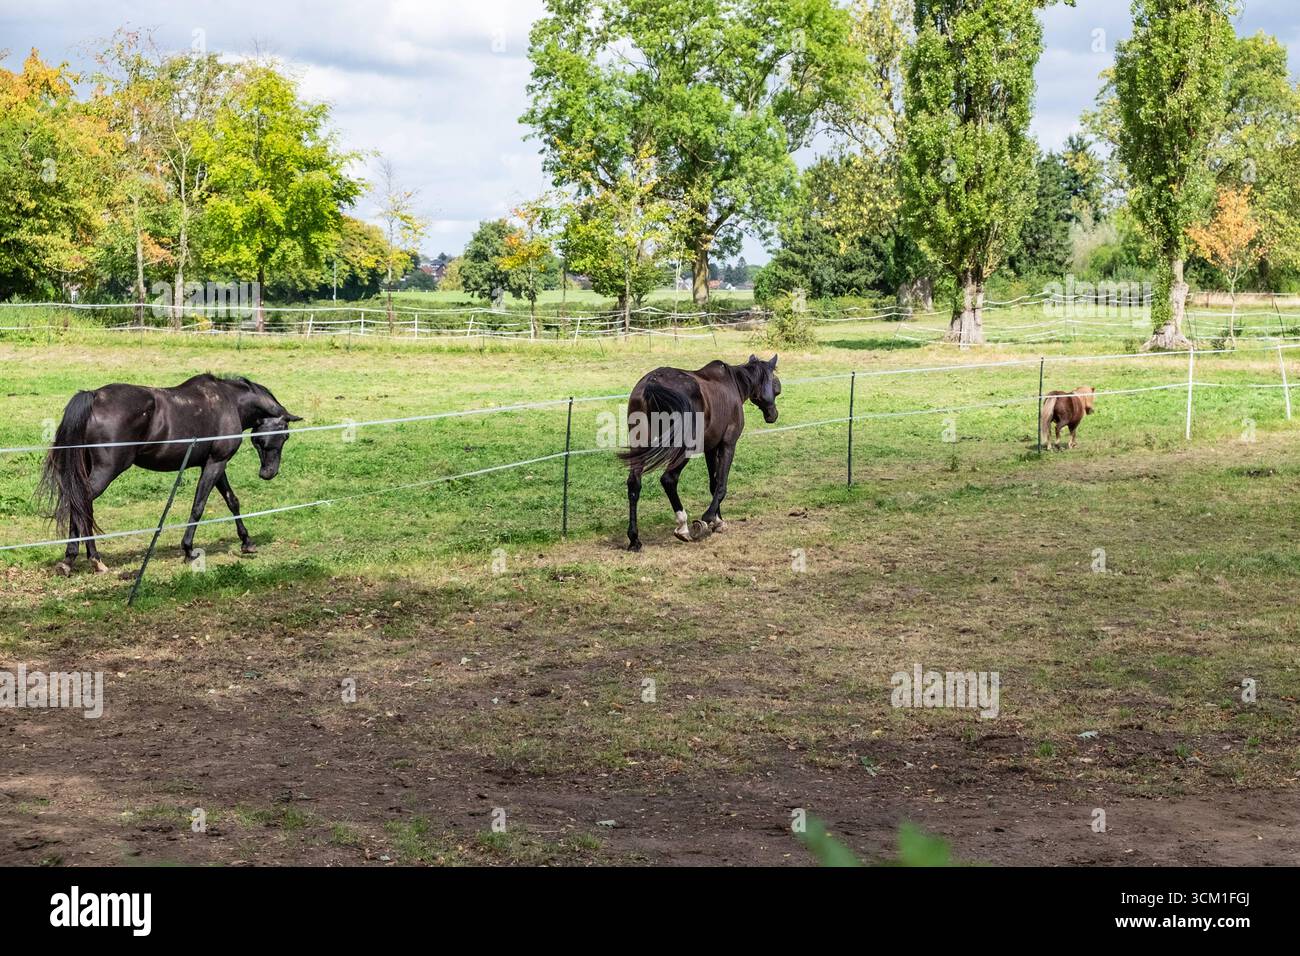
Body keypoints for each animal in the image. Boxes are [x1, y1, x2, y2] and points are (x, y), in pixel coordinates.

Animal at [39, 374, 301, 575]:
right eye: (284, 435)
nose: (269, 472)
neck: (230, 402)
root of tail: (94, 396)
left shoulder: (215, 464)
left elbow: (232, 501)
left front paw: (247, 542)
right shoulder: (216, 463)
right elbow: (198, 506)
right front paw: (188, 549)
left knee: (78, 503)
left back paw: (70, 560)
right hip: (107, 471)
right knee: (81, 502)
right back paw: (94, 559)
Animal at [621, 354, 780, 551]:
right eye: (775, 384)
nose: (773, 414)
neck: (732, 383)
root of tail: (652, 382)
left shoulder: (710, 448)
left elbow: (713, 483)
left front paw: (718, 521)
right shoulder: (728, 444)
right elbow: (721, 485)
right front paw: (709, 518)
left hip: (639, 444)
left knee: (634, 484)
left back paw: (634, 538)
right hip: (683, 448)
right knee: (669, 479)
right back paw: (683, 527)